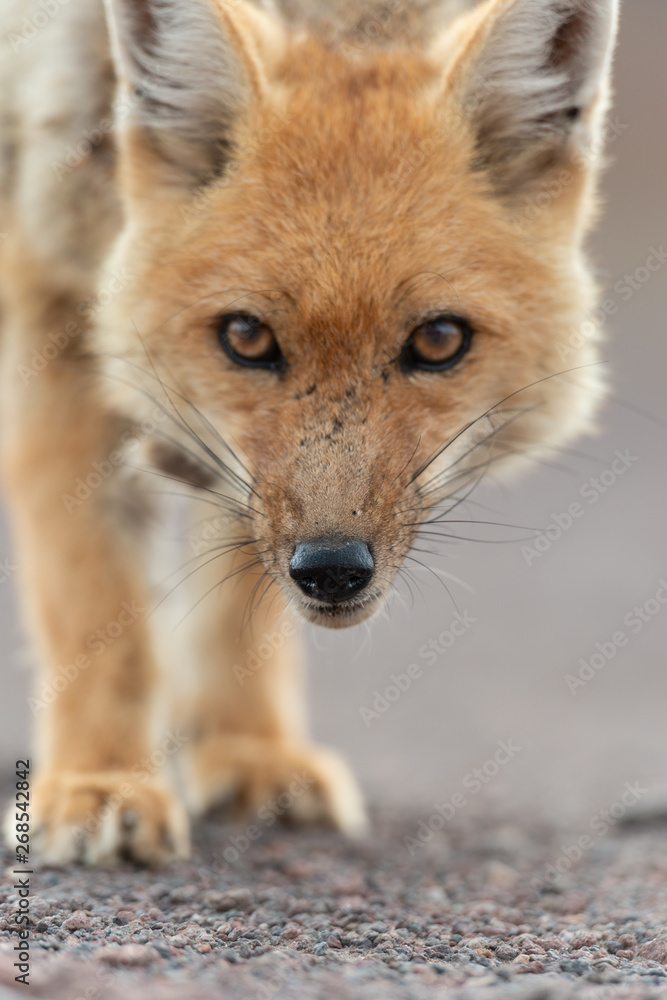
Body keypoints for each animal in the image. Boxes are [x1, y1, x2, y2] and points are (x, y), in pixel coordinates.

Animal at [0, 0, 619, 865]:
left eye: (438, 341)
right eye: (246, 337)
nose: (331, 571)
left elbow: (240, 588)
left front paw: (248, 748)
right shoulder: (49, 283)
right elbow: (93, 595)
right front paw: (102, 780)